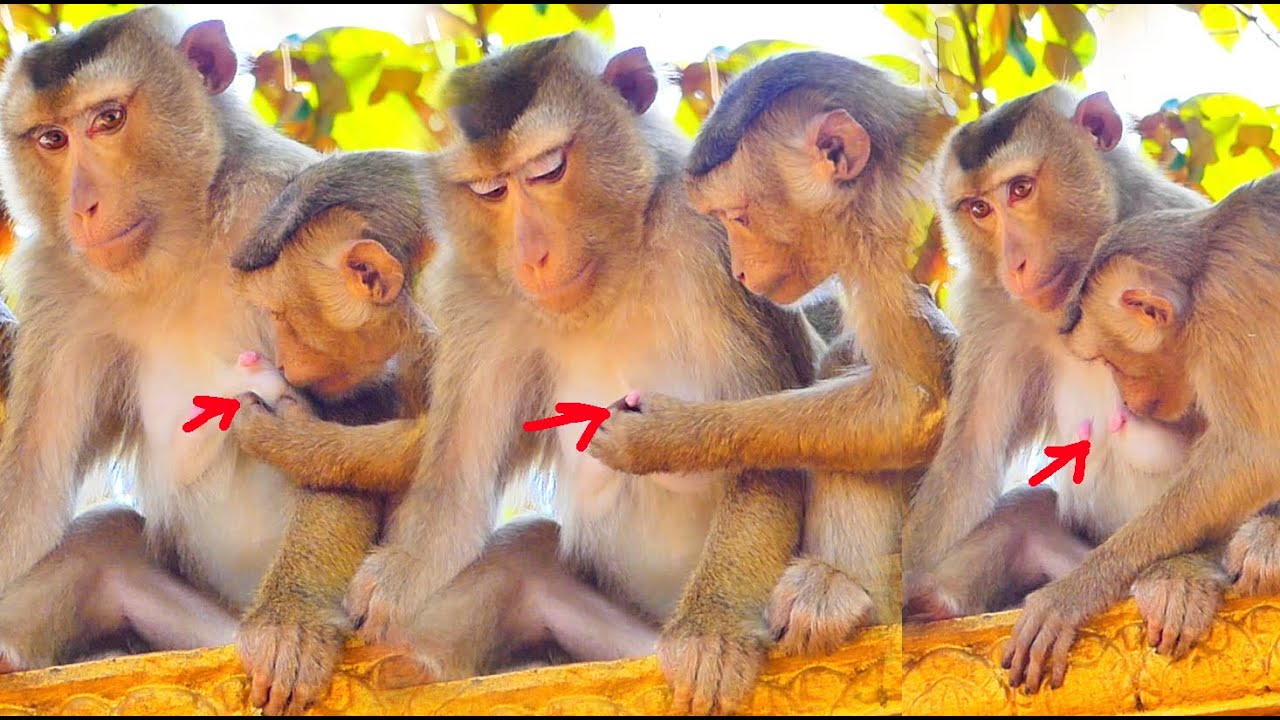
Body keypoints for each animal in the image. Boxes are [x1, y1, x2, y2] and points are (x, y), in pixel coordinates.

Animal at [0, 9, 380, 715]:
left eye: (110, 119)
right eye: (51, 138)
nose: (83, 205)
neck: (187, 243)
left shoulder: (300, 213)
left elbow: (362, 412)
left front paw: (294, 621)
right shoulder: (61, 284)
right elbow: (32, 482)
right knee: (108, 540)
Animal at [342, 33, 818, 715]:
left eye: (548, 170)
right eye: (490, 191)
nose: (532, 255)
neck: (617, 271)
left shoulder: (713, 244)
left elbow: (765, 446)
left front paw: (713, 633)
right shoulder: (479, 294)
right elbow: (458, 485)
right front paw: (397, 575)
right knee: (528, 553)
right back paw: (409, 666)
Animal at [901, 84, 1227, 656]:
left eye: (1022, 189)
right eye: (979, 208)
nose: (1014, 263)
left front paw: (1186, 574)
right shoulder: (993, 307)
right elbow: (971, 454)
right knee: (1027, 511)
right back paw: (932, 600)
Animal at [1005, 170, 1280, 691]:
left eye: (1111, 362)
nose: (1129, 401)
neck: (1202, 271)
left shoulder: (1227, 312)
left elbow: (1252, 453)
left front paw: (1072, 593)